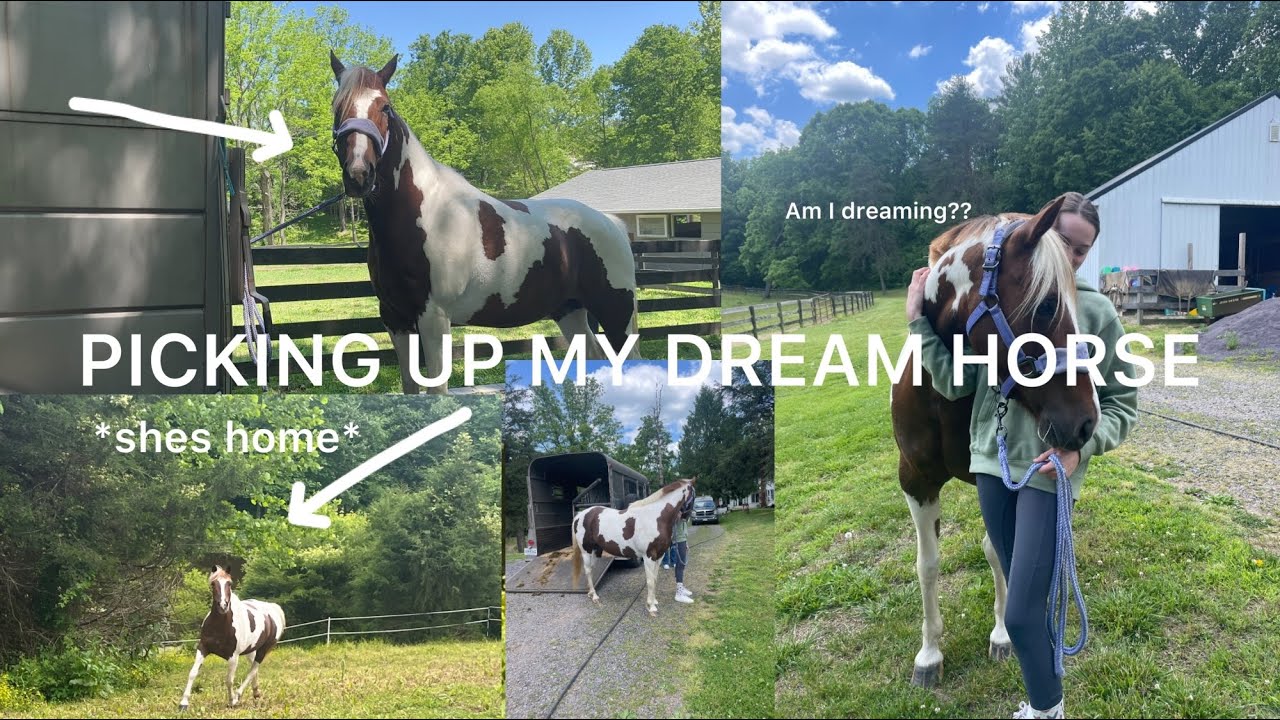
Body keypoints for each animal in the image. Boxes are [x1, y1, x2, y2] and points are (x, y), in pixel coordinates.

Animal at [178, 566, 287, 711]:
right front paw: (183, 703)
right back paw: (256, 693)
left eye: (229, 583)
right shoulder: (203, 648)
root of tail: (274, 609)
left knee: (252, 670)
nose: (223, 606)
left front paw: (231, 701)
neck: (220, 626)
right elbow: (193, 672)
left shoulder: (233, 656)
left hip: (264, 650)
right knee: (254, 670)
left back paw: (238, 697)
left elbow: (229, 680)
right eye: (213, 584)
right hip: (252, 650)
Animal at [328, 52, 641, 395]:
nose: (359, 174)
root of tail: (612, 223)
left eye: (384, 106)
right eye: (337, 105)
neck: (423, 215)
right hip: (569, 311)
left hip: (617, 311)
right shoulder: (395, 318)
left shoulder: (434, 317)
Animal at [570, 477, 696, 617]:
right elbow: (650, 581)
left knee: (591, 570)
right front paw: (651, 607)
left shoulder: (659, 556)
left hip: (597, 550)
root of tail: (580, 515)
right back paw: (595, 597)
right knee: (587, 570)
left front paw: (654, 601)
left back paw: (591, 593)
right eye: (694, 495)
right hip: (586, 550)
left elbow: (655, 579)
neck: (656, 518)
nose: (688, 517)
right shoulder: (649, 557)